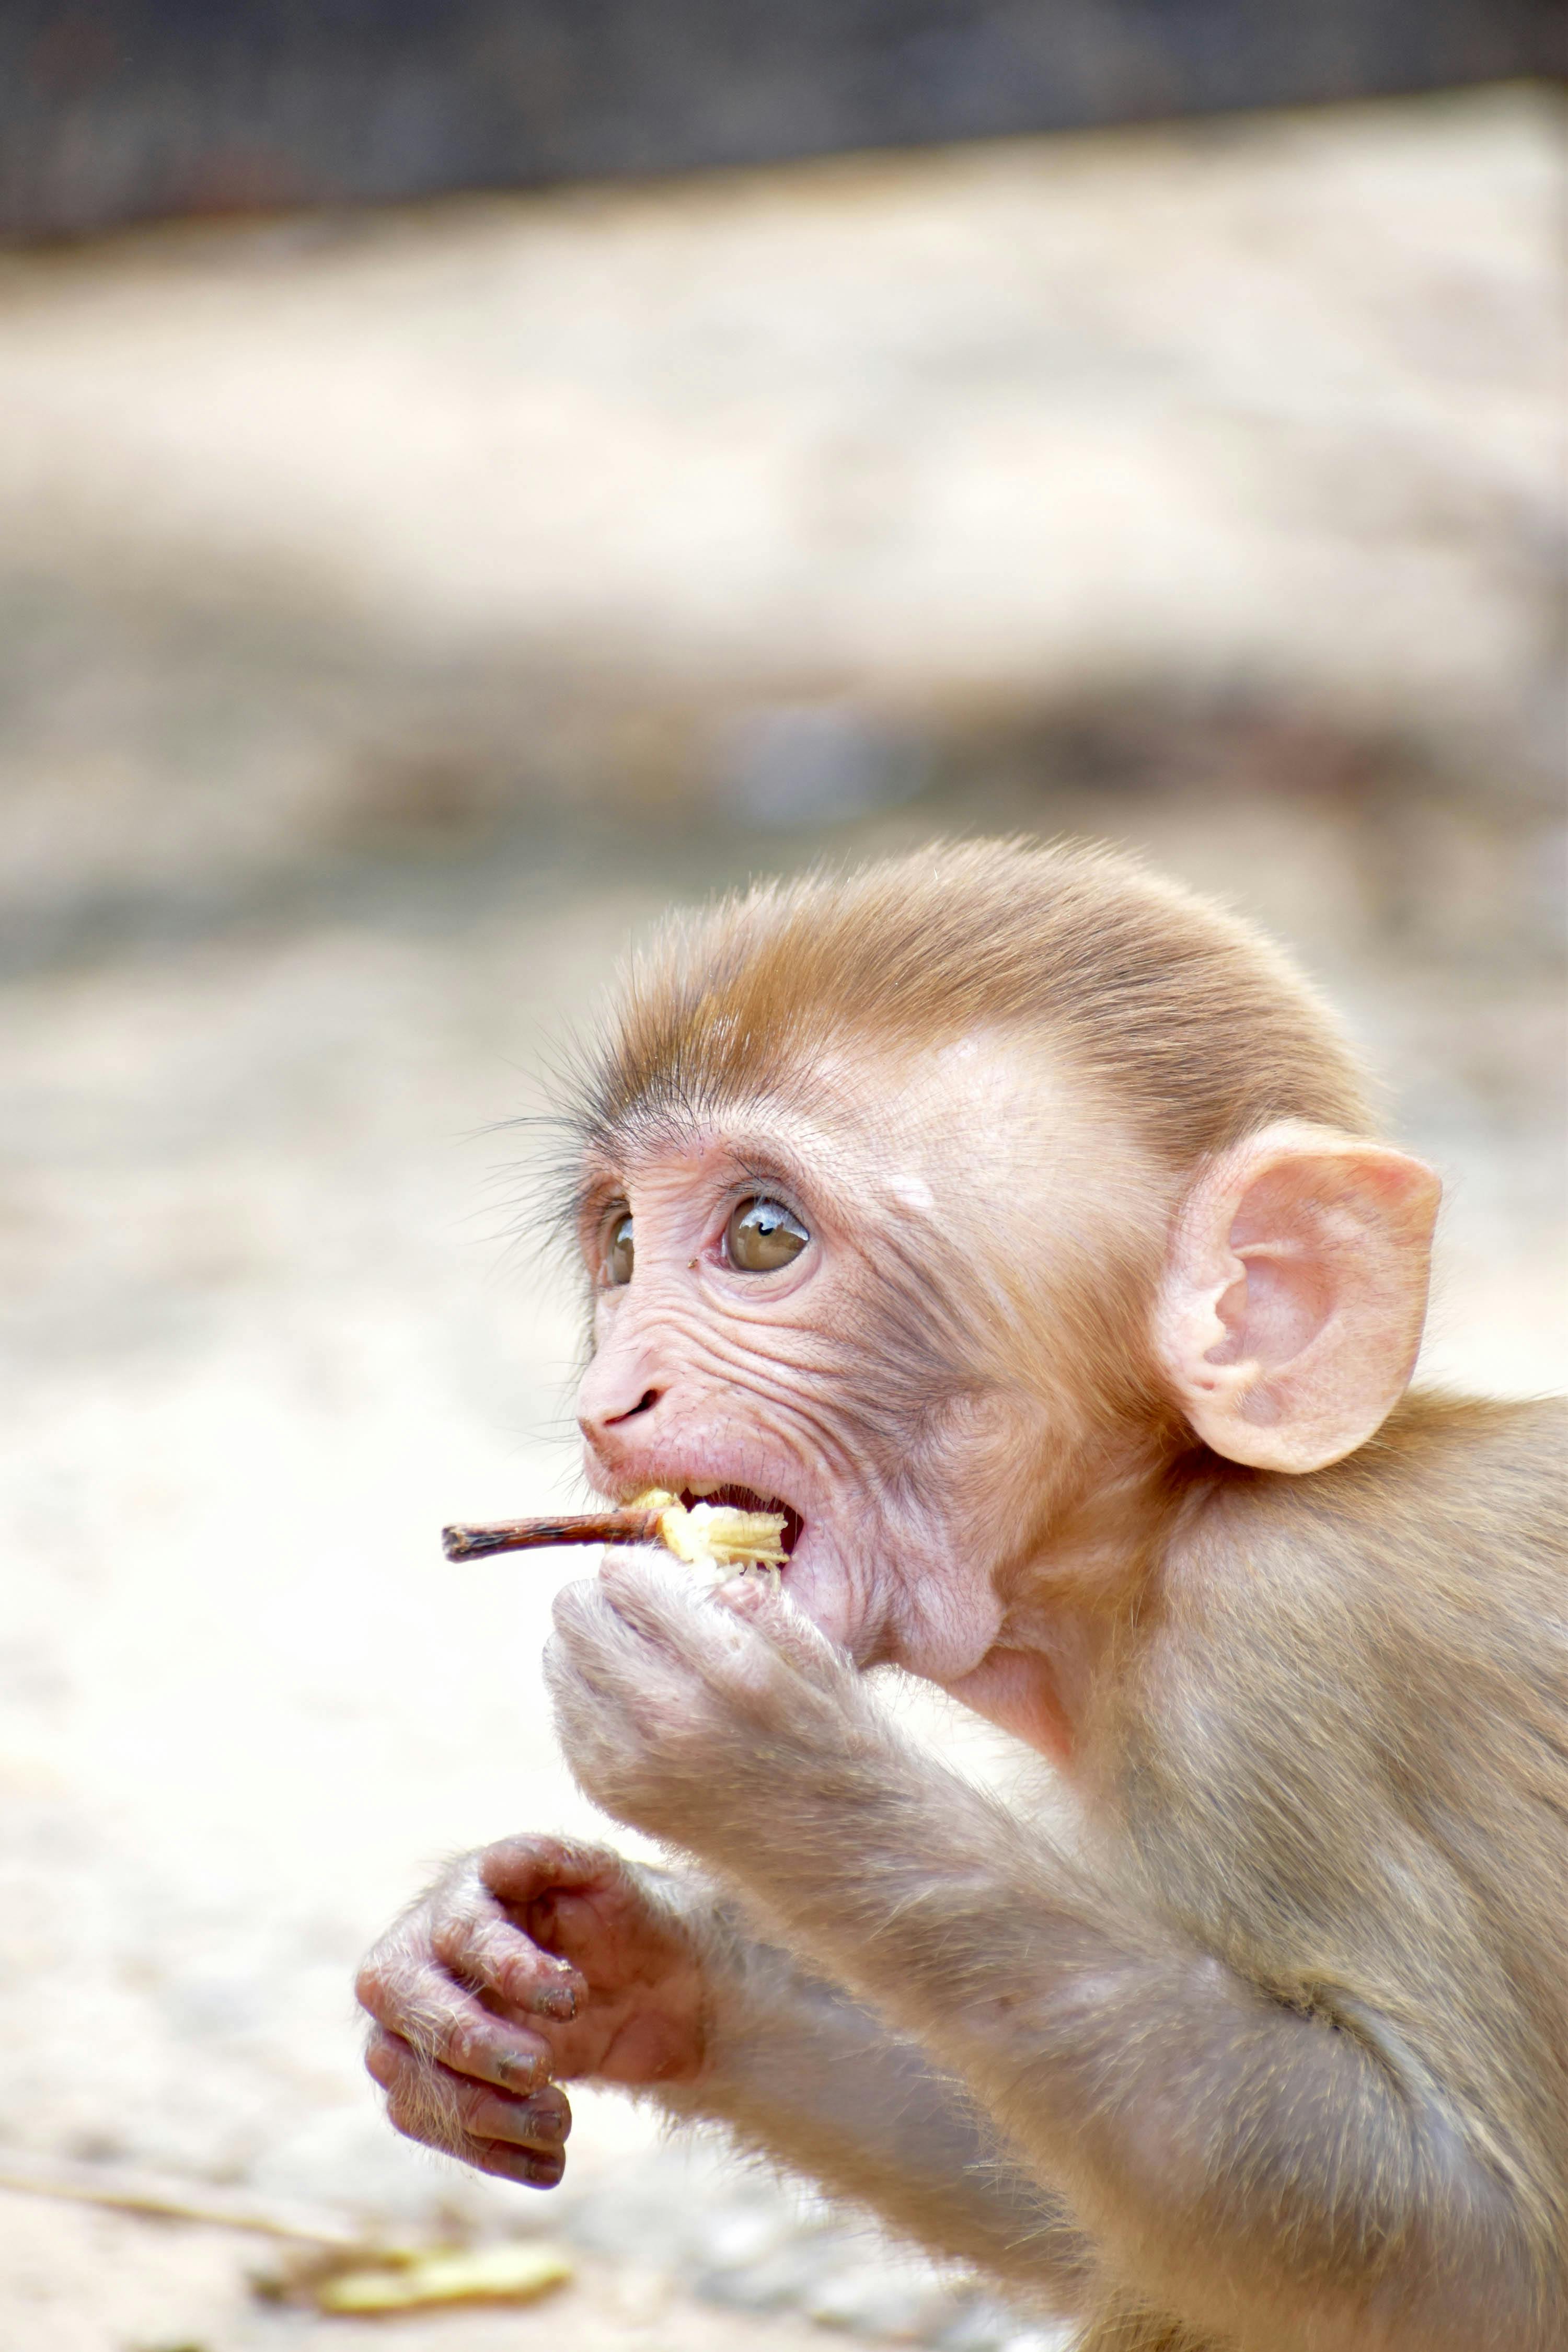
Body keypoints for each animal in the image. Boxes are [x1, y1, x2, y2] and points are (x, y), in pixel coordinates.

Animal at [356, 839, 1566, 2352]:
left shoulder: (1290, 1651)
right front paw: (612, 1952)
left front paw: (761, 1760)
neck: (1161, 1531)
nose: (608, 1394)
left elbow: (1462, 2235)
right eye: (622, 1243)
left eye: (762, 1236)